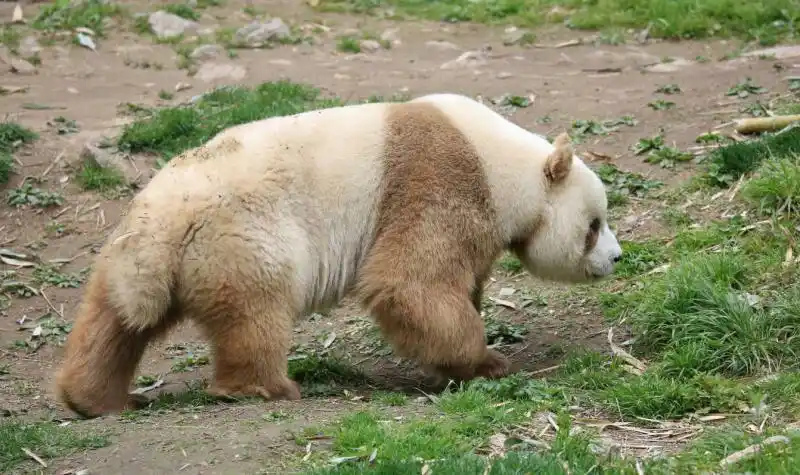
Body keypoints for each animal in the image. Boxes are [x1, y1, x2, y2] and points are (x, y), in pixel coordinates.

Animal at [54, 92, 623, 418]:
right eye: (594, 225)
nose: (616, 258)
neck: (500, 160)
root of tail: (165, 222)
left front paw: (454, 363)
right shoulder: (438, 178)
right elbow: (407, 281)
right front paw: (484, 362)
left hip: (129, 253)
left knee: (114, 323)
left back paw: (98, 398)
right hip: (244, 234)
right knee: (256, 312)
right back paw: (265, 388)